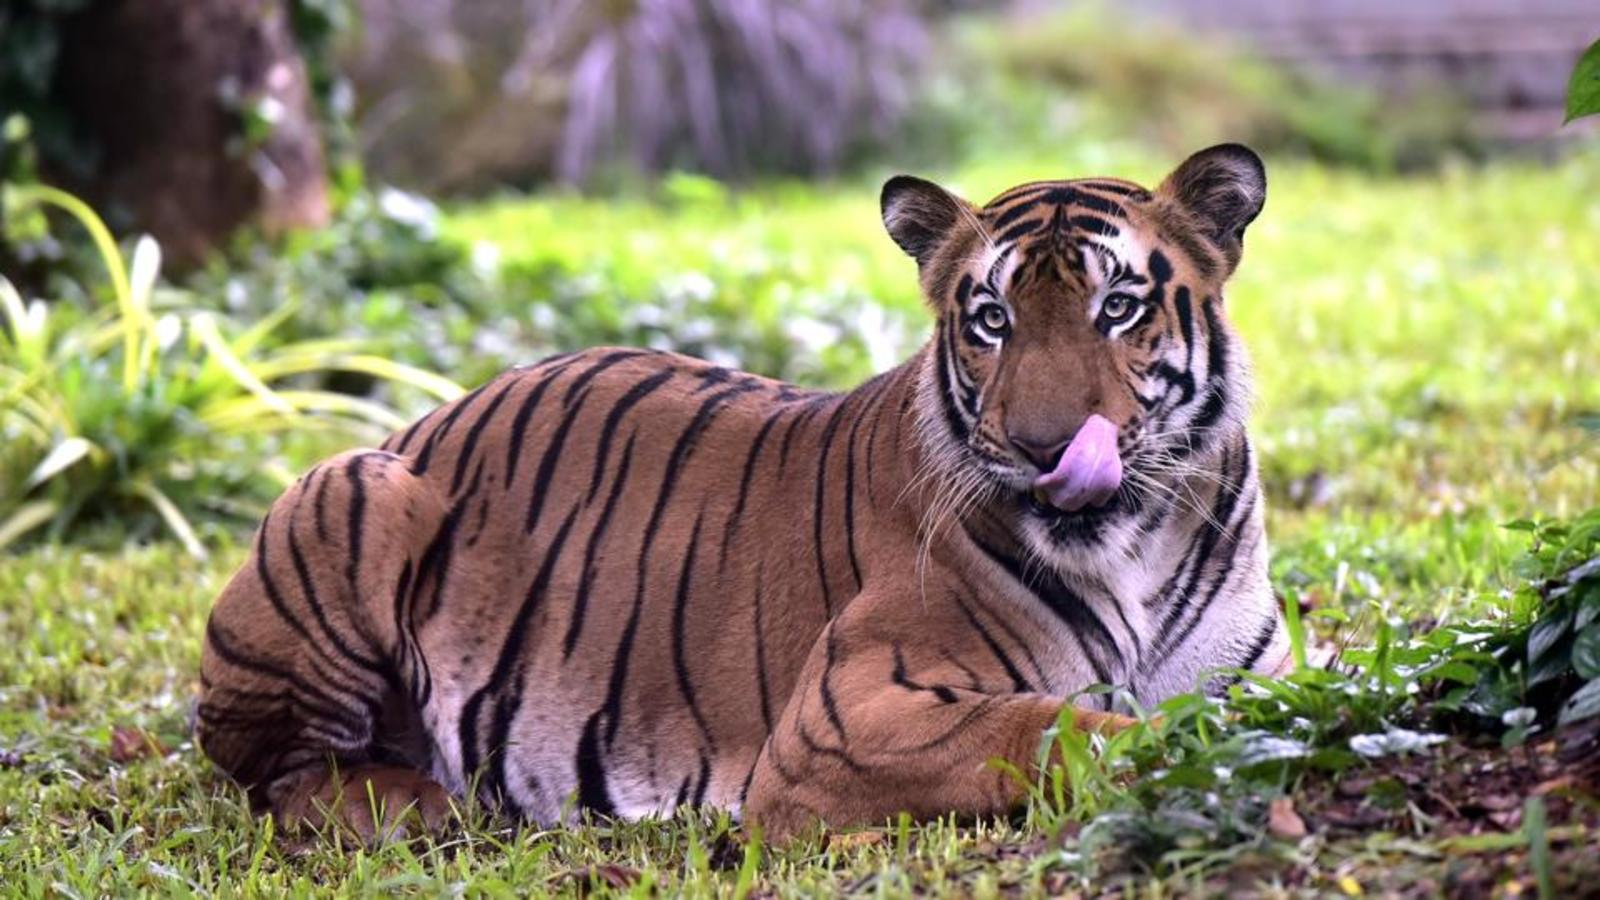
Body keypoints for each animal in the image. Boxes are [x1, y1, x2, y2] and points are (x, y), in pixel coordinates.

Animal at [195, 144, 1290, 842]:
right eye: (990, 318)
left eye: (1119, 307)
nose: (1043, 447)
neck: (1133, 545)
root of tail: (427, 417)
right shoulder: (846, 720)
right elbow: (1077, 729)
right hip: (351, 489)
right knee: (273, 772)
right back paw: (413, 805)